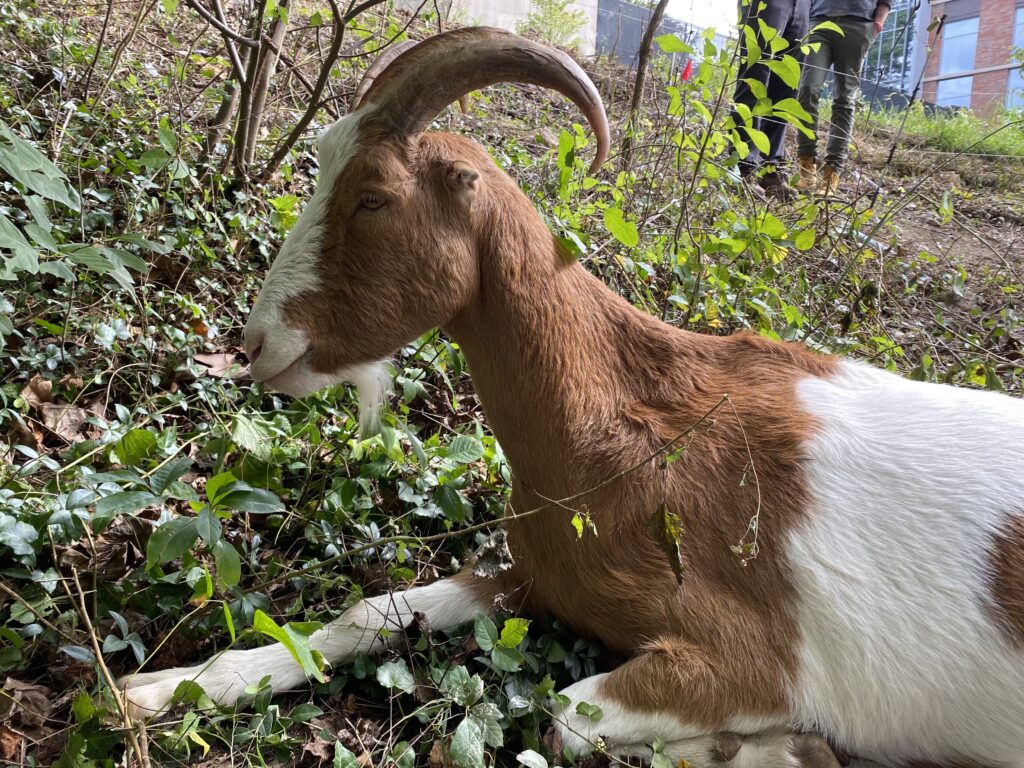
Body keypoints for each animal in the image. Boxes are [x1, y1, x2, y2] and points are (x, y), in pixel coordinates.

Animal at [121, 27, 1024, 768]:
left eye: (373, 196)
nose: (254, 344)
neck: (627, 431)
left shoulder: (762, 664)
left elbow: (564, 714)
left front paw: (788, 747)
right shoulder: (541, 575)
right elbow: (367, 614)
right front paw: (174, 686)